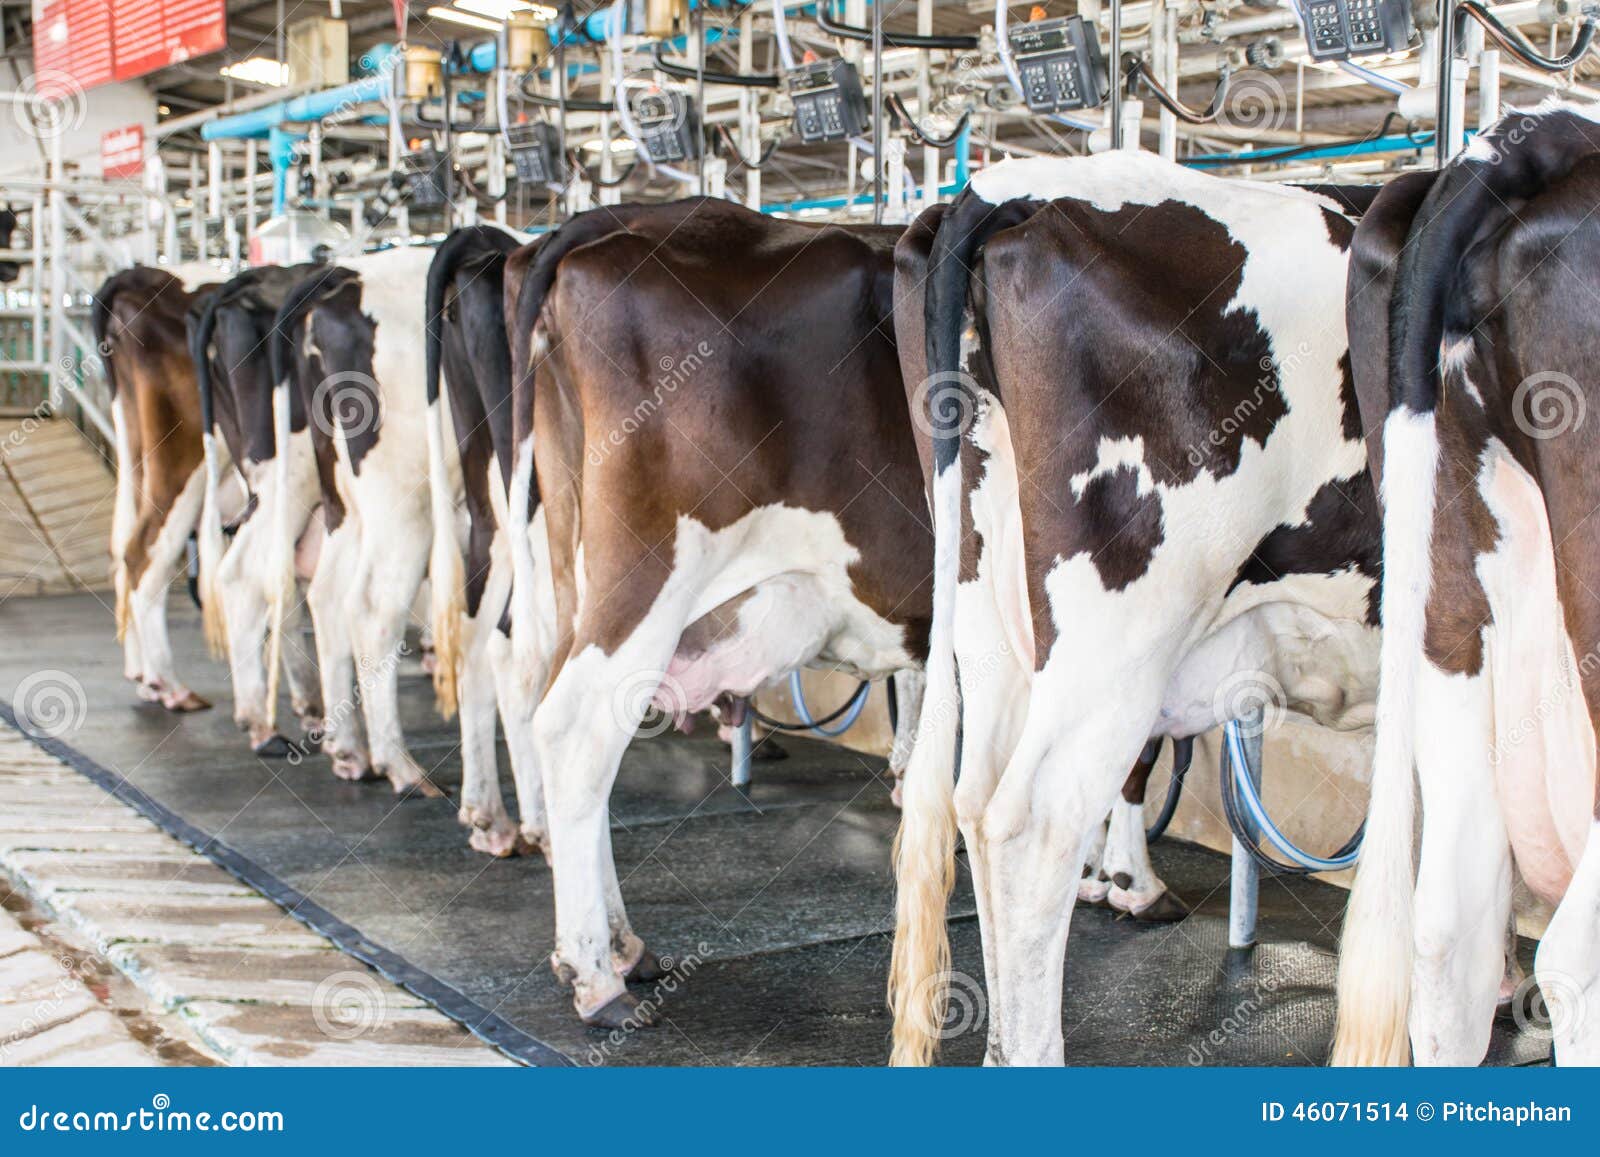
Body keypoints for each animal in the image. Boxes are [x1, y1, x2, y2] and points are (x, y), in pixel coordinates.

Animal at [95, 266, 235, 712]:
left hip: (137, 455)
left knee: (123, 550)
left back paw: (142, 676)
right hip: (185, 458)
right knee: (144, 553)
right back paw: (169, 685)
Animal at [265, 251, 442, 794]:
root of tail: (345, 276)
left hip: (340, 502)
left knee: (322, 594)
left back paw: (347, 748)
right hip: (404, 500)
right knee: (370, 608)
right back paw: (400, 766)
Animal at [504, 199, 935, 1027]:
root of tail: (595, 229)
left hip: (573, 566)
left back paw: (622, 945)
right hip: (648, 572)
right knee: (575, 728)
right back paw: (595, 976)